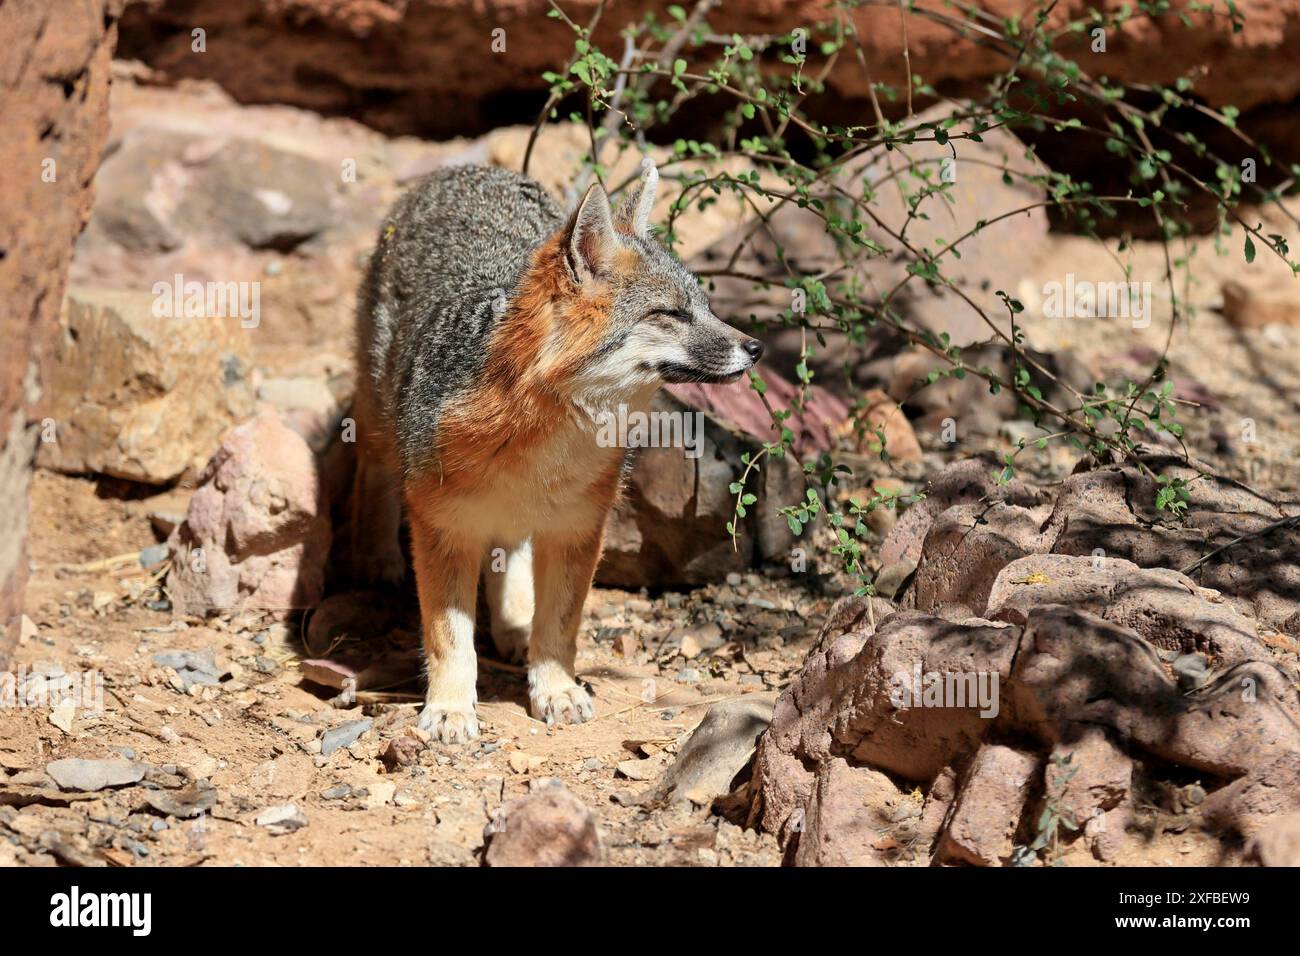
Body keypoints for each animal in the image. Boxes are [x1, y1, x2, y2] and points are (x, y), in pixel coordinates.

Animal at [350, 162, 763, 743]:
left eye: (706, 308)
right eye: (671, 314)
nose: (757, 348)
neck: (539, 441)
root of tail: (466, 168)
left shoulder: (575, 528)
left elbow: (560, 626)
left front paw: (556, 687)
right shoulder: (444, 527)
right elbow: (449, 637)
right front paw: (450, 706)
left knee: (511, 550)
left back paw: (513, 620)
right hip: (378, 414)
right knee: (372, 463)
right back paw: (374, 553)